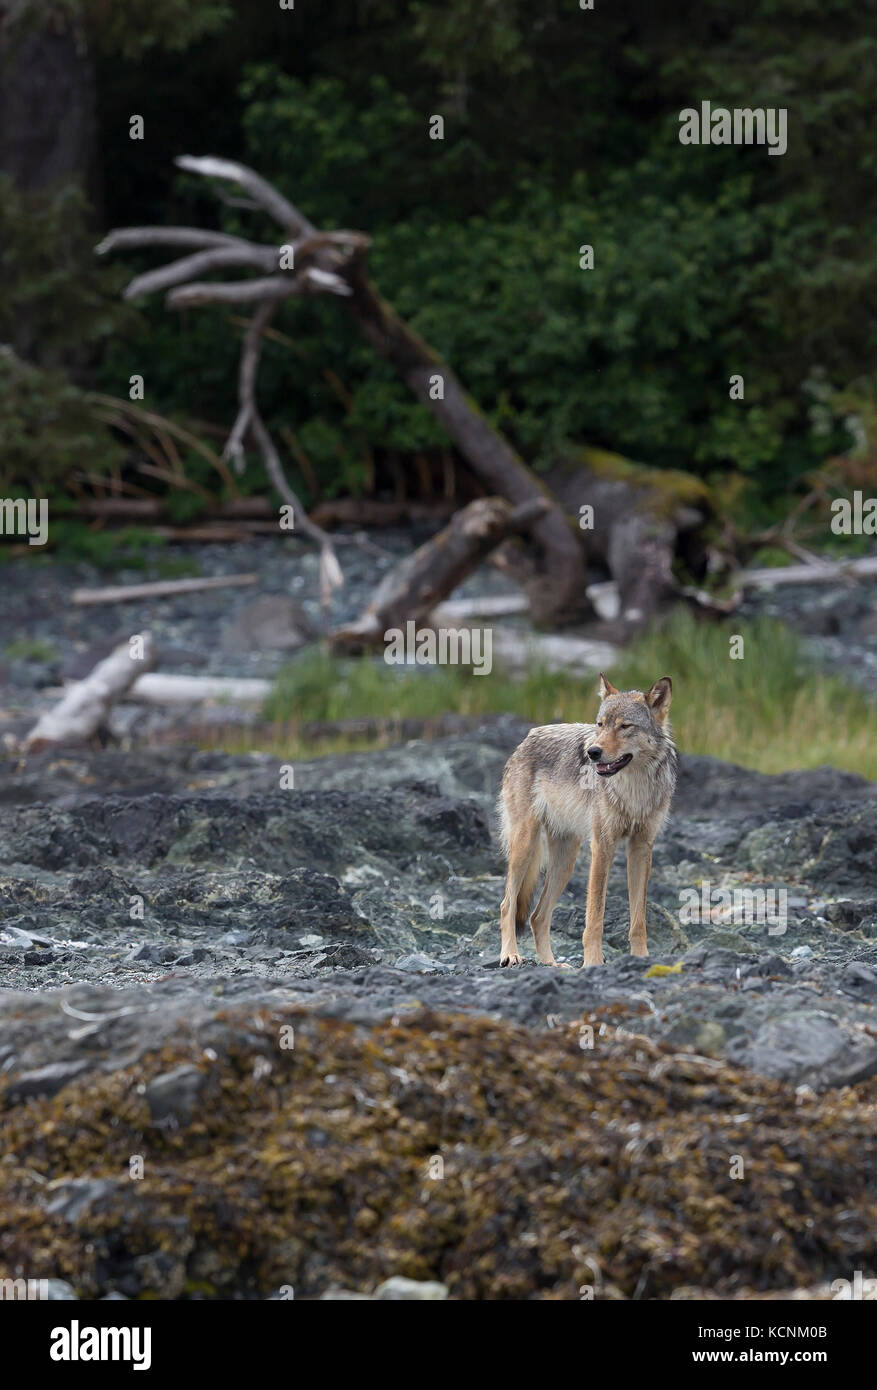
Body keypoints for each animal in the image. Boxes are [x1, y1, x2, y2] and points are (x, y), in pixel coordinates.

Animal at [498, 673, 677, 968]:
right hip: (525, 846)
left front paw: (641, 959)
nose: (593, 752)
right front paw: (593, 963)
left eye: (625, 726)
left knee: (537, 916)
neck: (634, 788)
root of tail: (528, 737)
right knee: (507, 905)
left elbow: (638, 920)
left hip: (565, 862)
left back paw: (552, 965)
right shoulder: (602, 847)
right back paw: (510, 954)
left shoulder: (641, 848)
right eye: (600, 724)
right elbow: (595, 917)